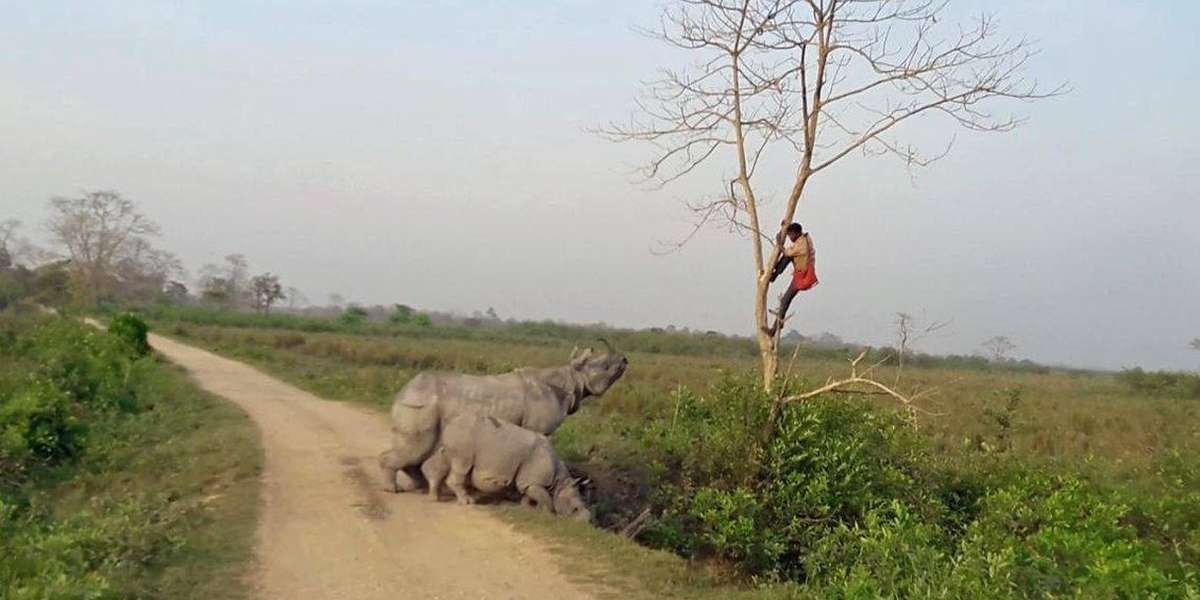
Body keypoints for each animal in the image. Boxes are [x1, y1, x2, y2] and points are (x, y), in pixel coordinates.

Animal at [379, 340, 627, 492]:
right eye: (606, 365)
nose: (625, 360)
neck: (571, 379)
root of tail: (405, 390)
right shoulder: (538, 429)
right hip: (421, 405)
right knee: (417, 448)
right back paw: (393, 489)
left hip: (421, 403)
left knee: (419, 451)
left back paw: (419, 486)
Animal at [421, 411, 592, 521]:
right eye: (575, 509)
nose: (586, 522)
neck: (560, 482)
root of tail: (451, 423)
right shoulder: (534, 481)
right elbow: (545, 498)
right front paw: (549, 515)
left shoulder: (528, 481)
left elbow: (528, 495)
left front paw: (528, 509)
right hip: (464, 439)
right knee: (461, 466)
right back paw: (467, 502)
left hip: (458, 437)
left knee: (446, 458)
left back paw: (434, 498)